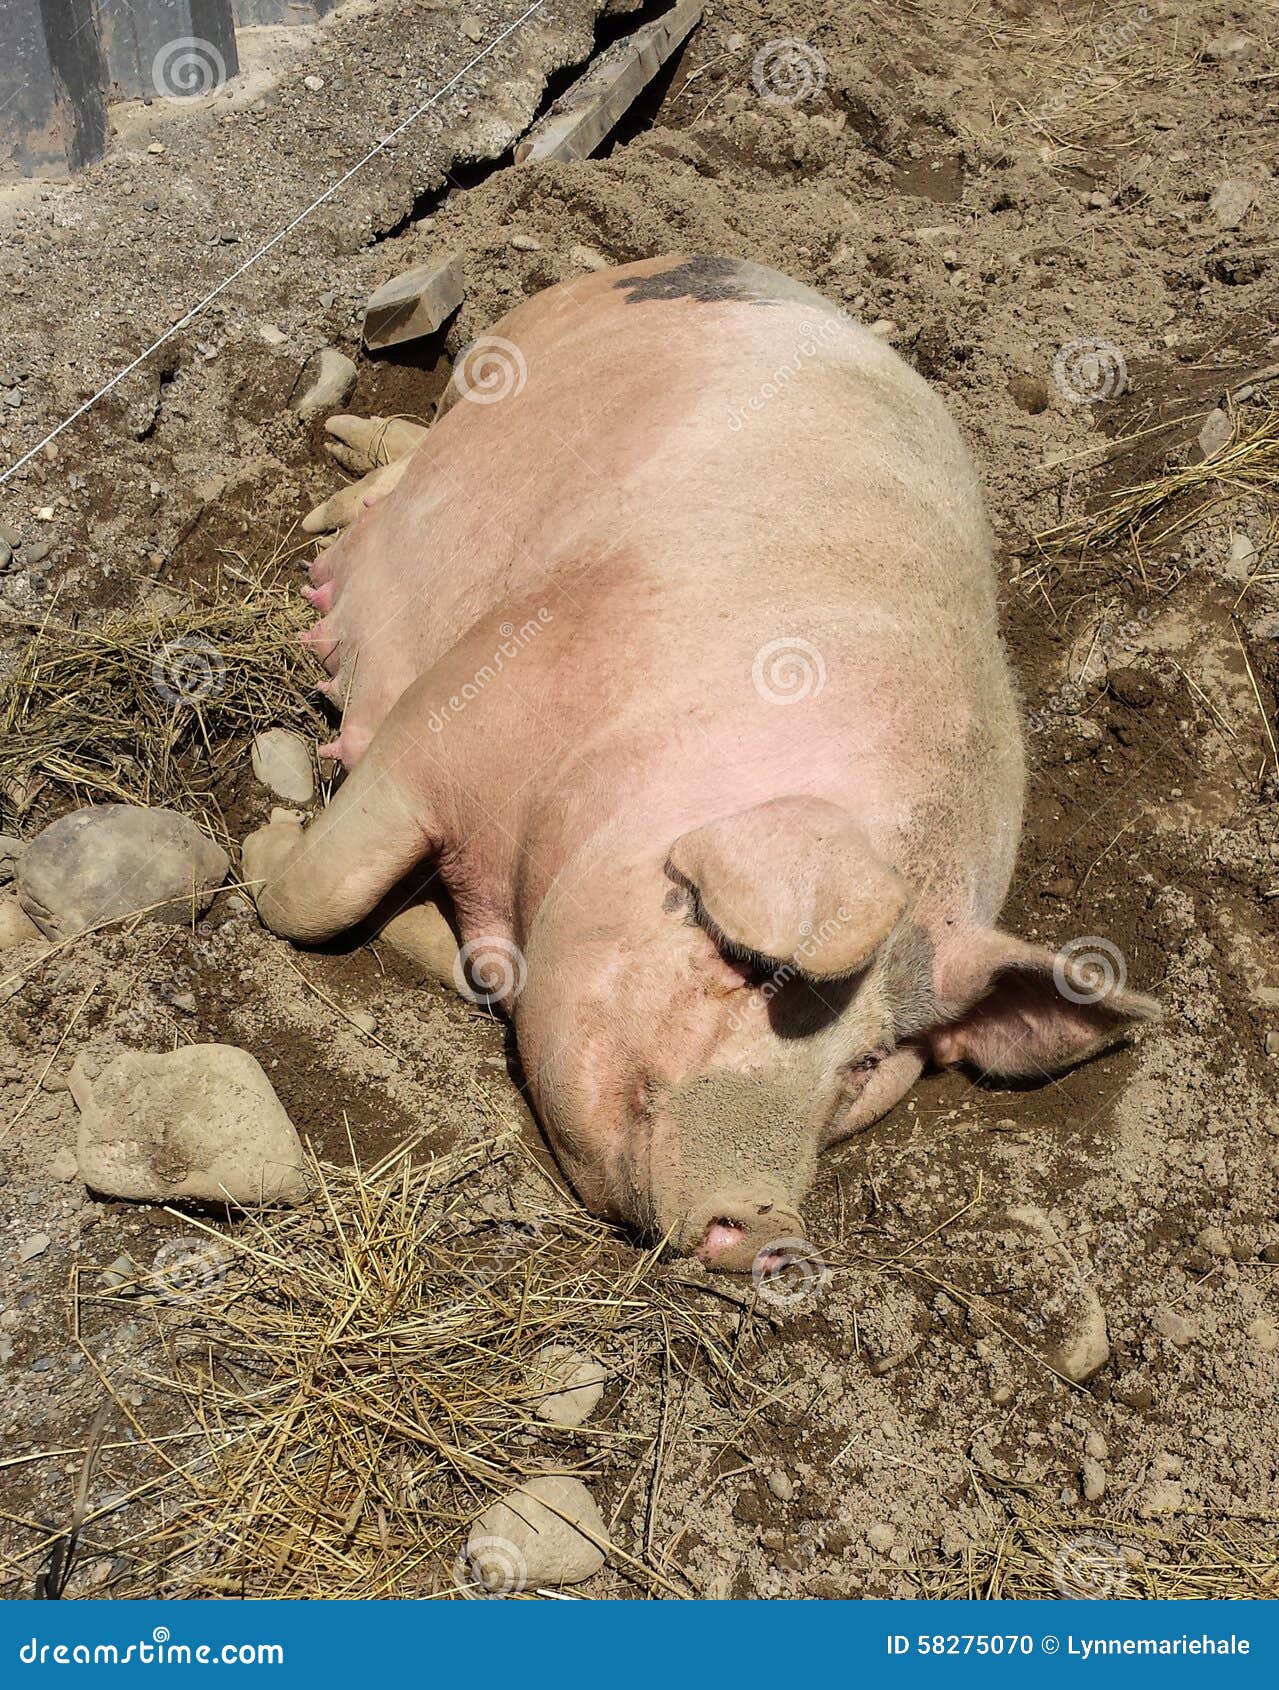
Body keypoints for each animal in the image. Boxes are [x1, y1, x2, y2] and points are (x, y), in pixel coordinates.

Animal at [243, 254, 1159, 1272]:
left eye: (865, 1062)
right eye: (754, 975)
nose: (768, 1223)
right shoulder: (447, 719)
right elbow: (318, 899)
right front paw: (264, 841)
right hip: (492, 372)